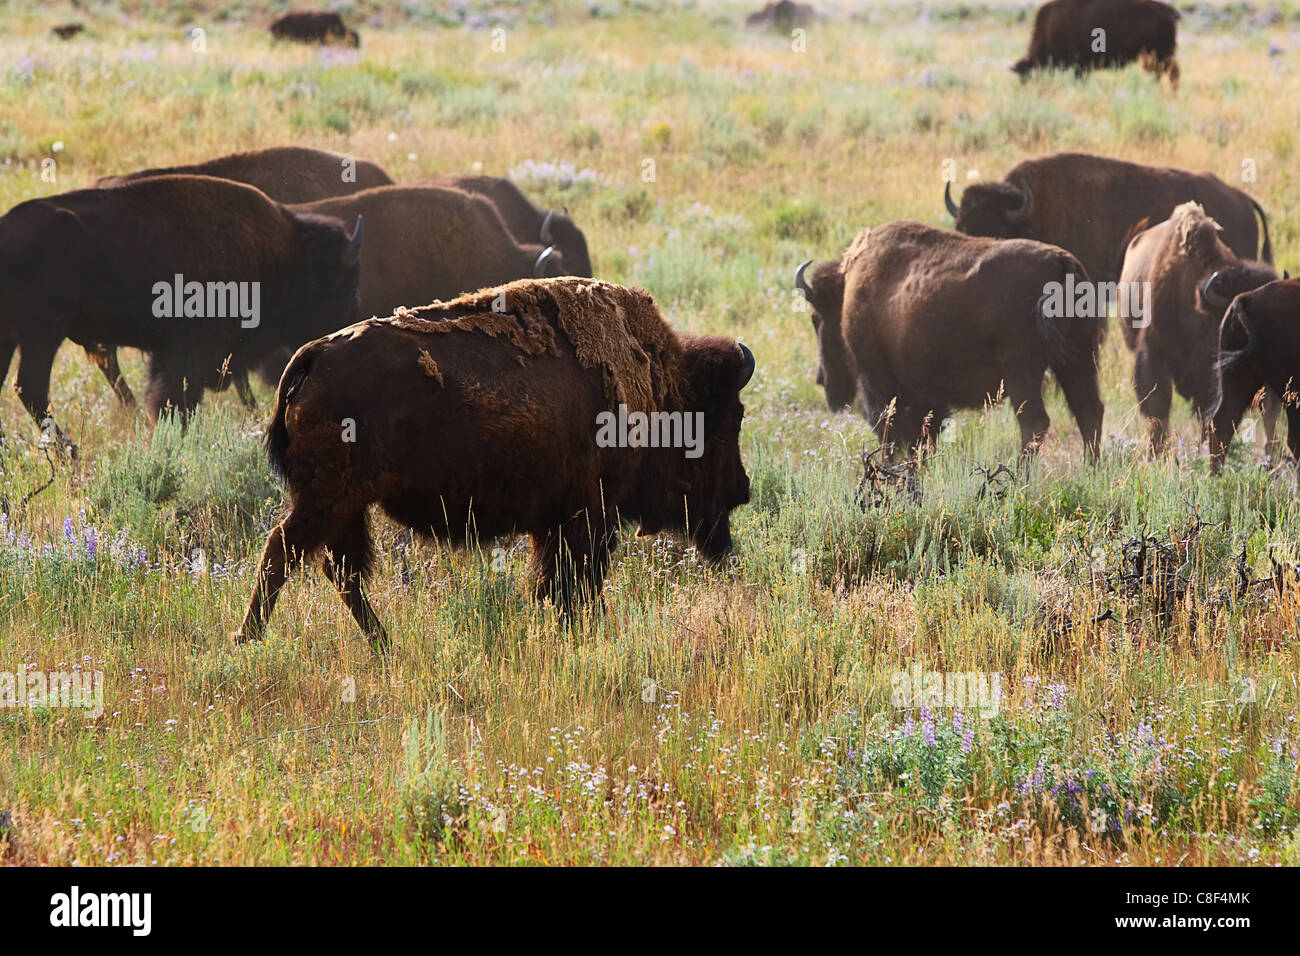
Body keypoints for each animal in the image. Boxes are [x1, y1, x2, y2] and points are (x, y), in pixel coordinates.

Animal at [0, 175, 362, 446]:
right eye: (342, 283)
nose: (348, 329)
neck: (281, 254)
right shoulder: (189, 354)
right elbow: (175, 400)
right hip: (43, 335)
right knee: (31, 388)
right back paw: (69, 452)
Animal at [233, 278, 755, 647]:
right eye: (730, 417)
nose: (744, 489)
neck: (658, 390)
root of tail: (313, 355)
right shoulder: (590, 518)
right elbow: (577, 584)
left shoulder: (555, 522)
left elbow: (554, 583)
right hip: (326, 499)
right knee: (285, 550)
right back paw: (248, 639)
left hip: (345, 506)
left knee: (339, 570)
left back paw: (384, 645)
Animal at [798, 222, 1104, 456]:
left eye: (816, 319)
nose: (821, 380)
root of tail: (1063, 262)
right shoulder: (929, 397)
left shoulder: (877, 384)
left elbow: (888, 432)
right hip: (1077, 359)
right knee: (1089, 413)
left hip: (1023, 371)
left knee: (1034, 423)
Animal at [1013, 0, 1180, 87]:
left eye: (1025, 75)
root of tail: (1167, 9)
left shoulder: (1079, 65)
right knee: (1160, 73)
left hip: (1161, 55)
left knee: (1173, 73)